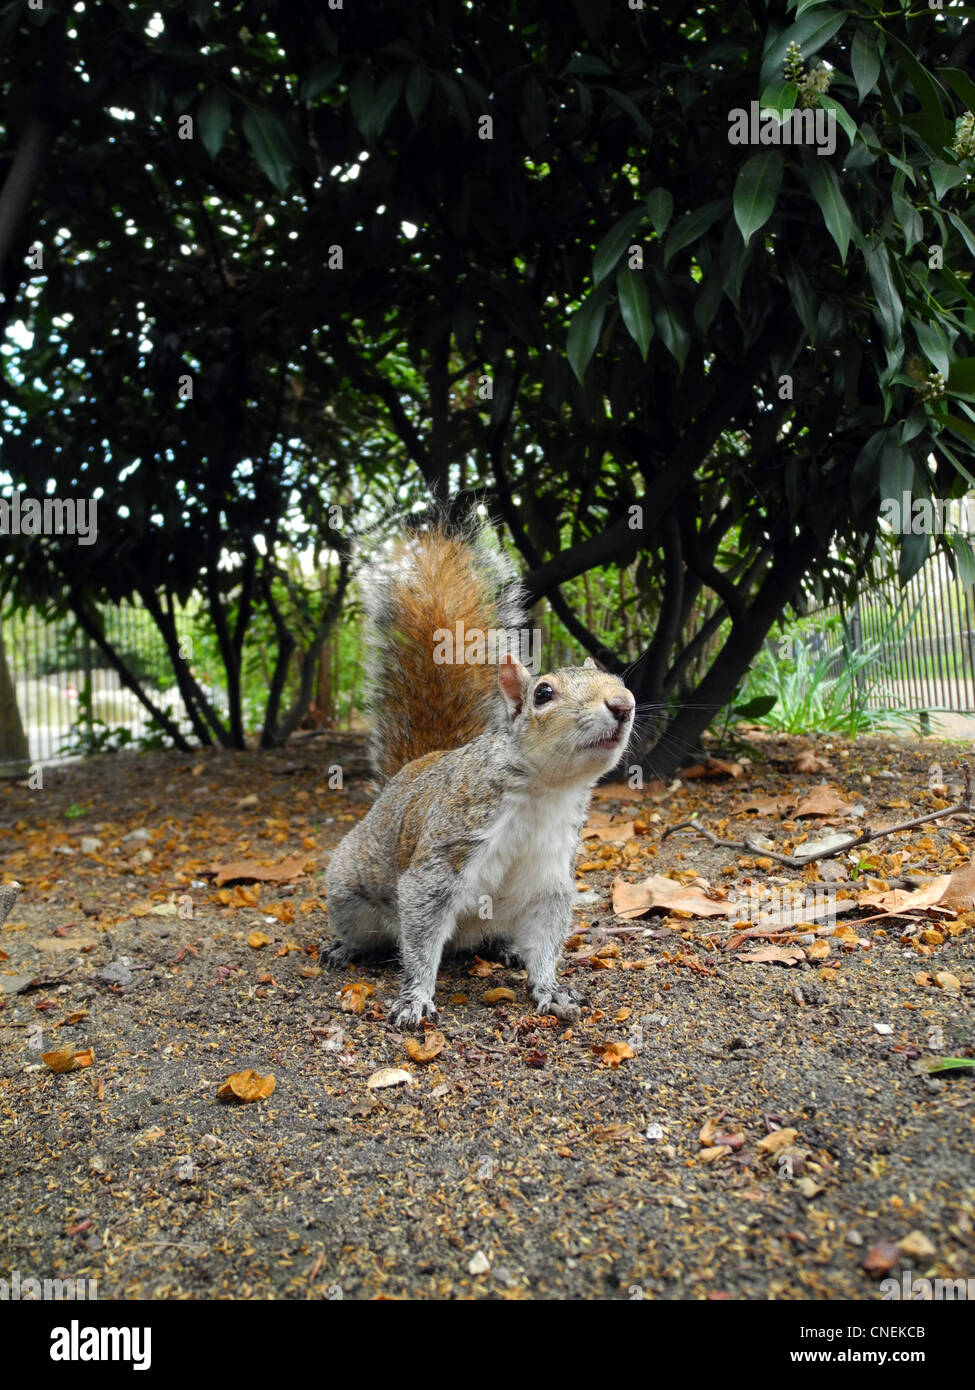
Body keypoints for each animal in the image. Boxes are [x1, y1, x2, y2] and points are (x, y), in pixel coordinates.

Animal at [324, 516, 635, 1029]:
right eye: (543, 694)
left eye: (619, 680)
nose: (623, 705)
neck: (544, 793)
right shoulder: (448, 850)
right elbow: (422, 935)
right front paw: (415, 998)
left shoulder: (549, 874)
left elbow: (546, 939)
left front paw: (550, 989)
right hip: (350, 895)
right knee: (371, 933)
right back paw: (345, 949)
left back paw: (505, 949)